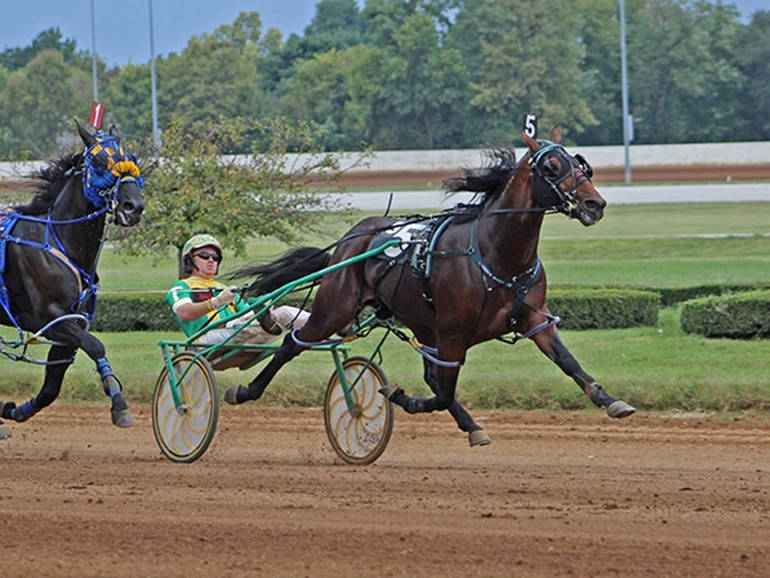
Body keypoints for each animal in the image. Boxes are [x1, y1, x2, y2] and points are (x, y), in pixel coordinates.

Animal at [0, 122, 146, 439]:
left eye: (131, 161)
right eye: (101, 163)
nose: (134, 206)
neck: (61, 242)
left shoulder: (72, 323)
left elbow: (52, 386)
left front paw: (15, 410)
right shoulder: (51, 318)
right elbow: (96, 346)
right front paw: (118, 402)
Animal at [225, 126, 635, 444]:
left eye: (581, 164)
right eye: (551, 166)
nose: (594, 204)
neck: (496, 254)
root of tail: (350, 239)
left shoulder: (533, 318)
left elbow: (568, 362)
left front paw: (611, 400)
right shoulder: (454, 332)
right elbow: (441, 391)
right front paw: (401, 397)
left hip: (421, 320)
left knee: (430, 373)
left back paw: (470, 425)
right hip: (335, 307)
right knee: (294, 343)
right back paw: (245, 390)